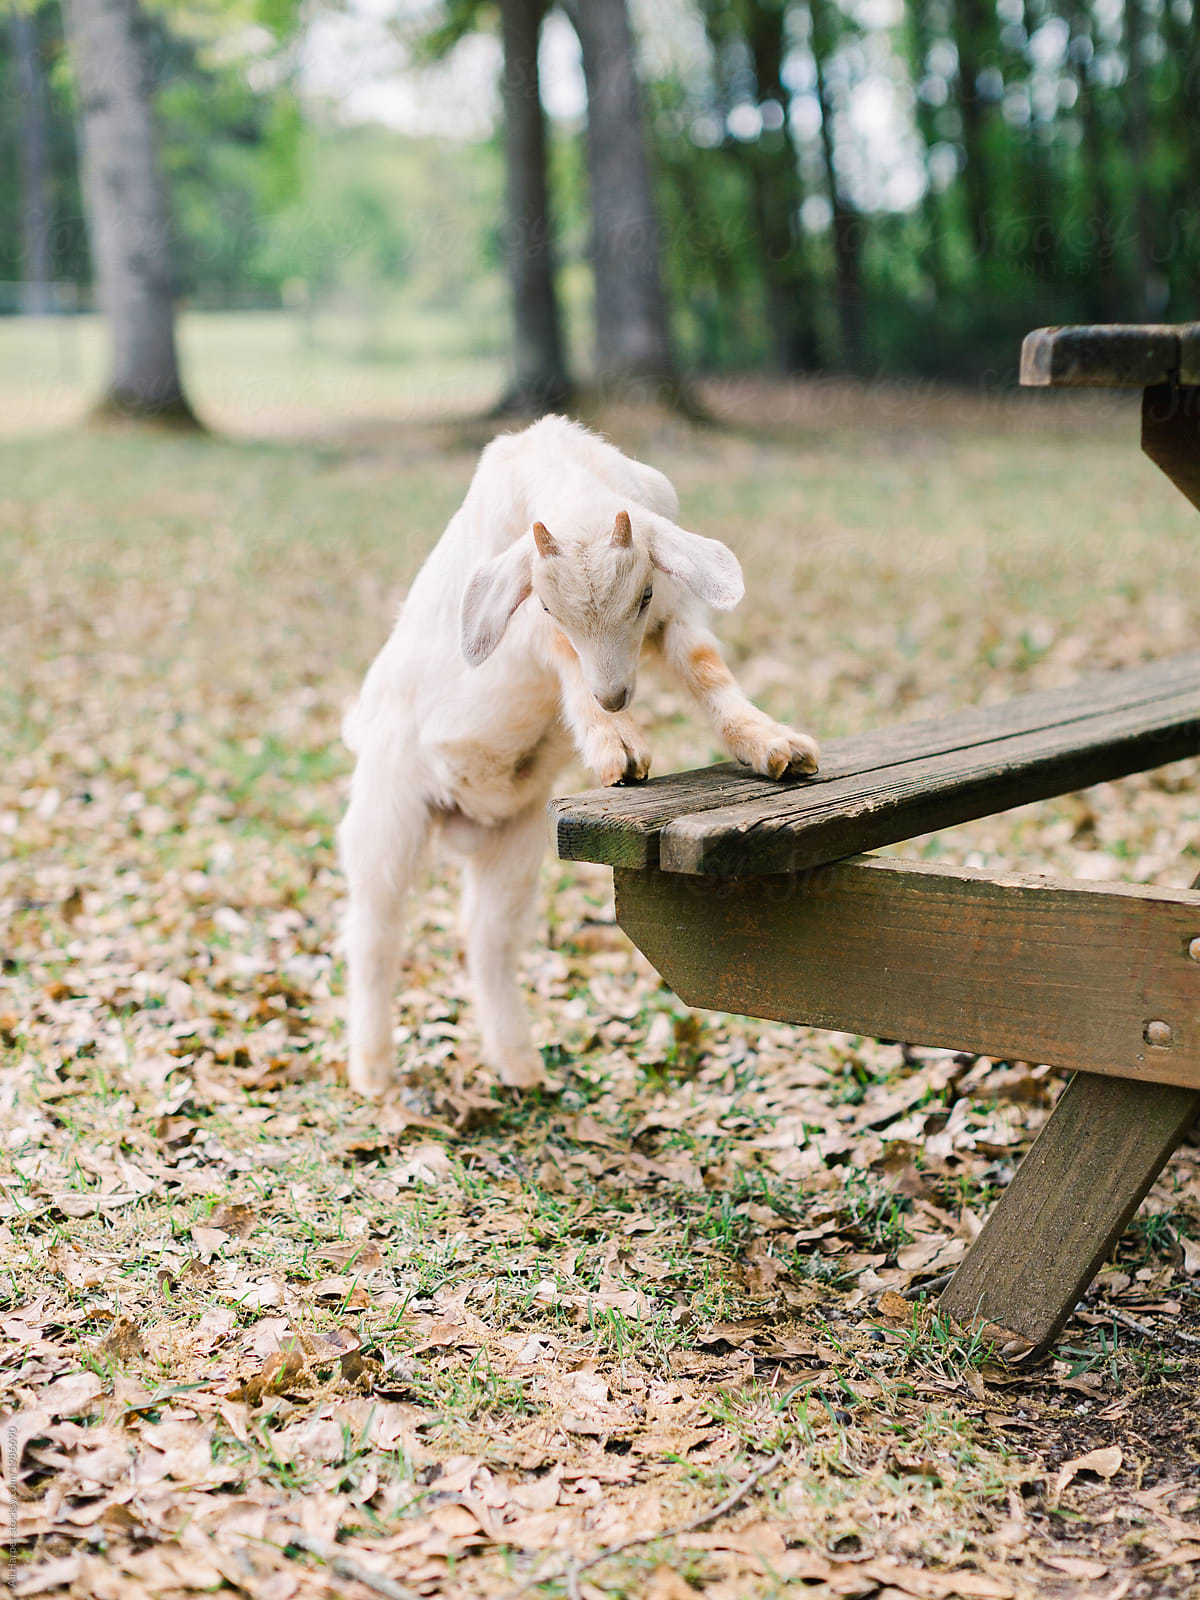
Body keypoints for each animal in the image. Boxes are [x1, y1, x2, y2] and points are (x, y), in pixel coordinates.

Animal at [338, 416, 819, 1096]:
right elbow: (564, 655)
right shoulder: (530, 633)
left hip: (514, 838)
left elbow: (704, 667)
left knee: (487, 936)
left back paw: (519, 1066)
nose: (614, 697)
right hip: (387, 814)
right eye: (545, 604)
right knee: (375, 932)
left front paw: (777, 748)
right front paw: (620, 753)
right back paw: (375, 1072)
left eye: (642, 595)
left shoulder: (675, 609)